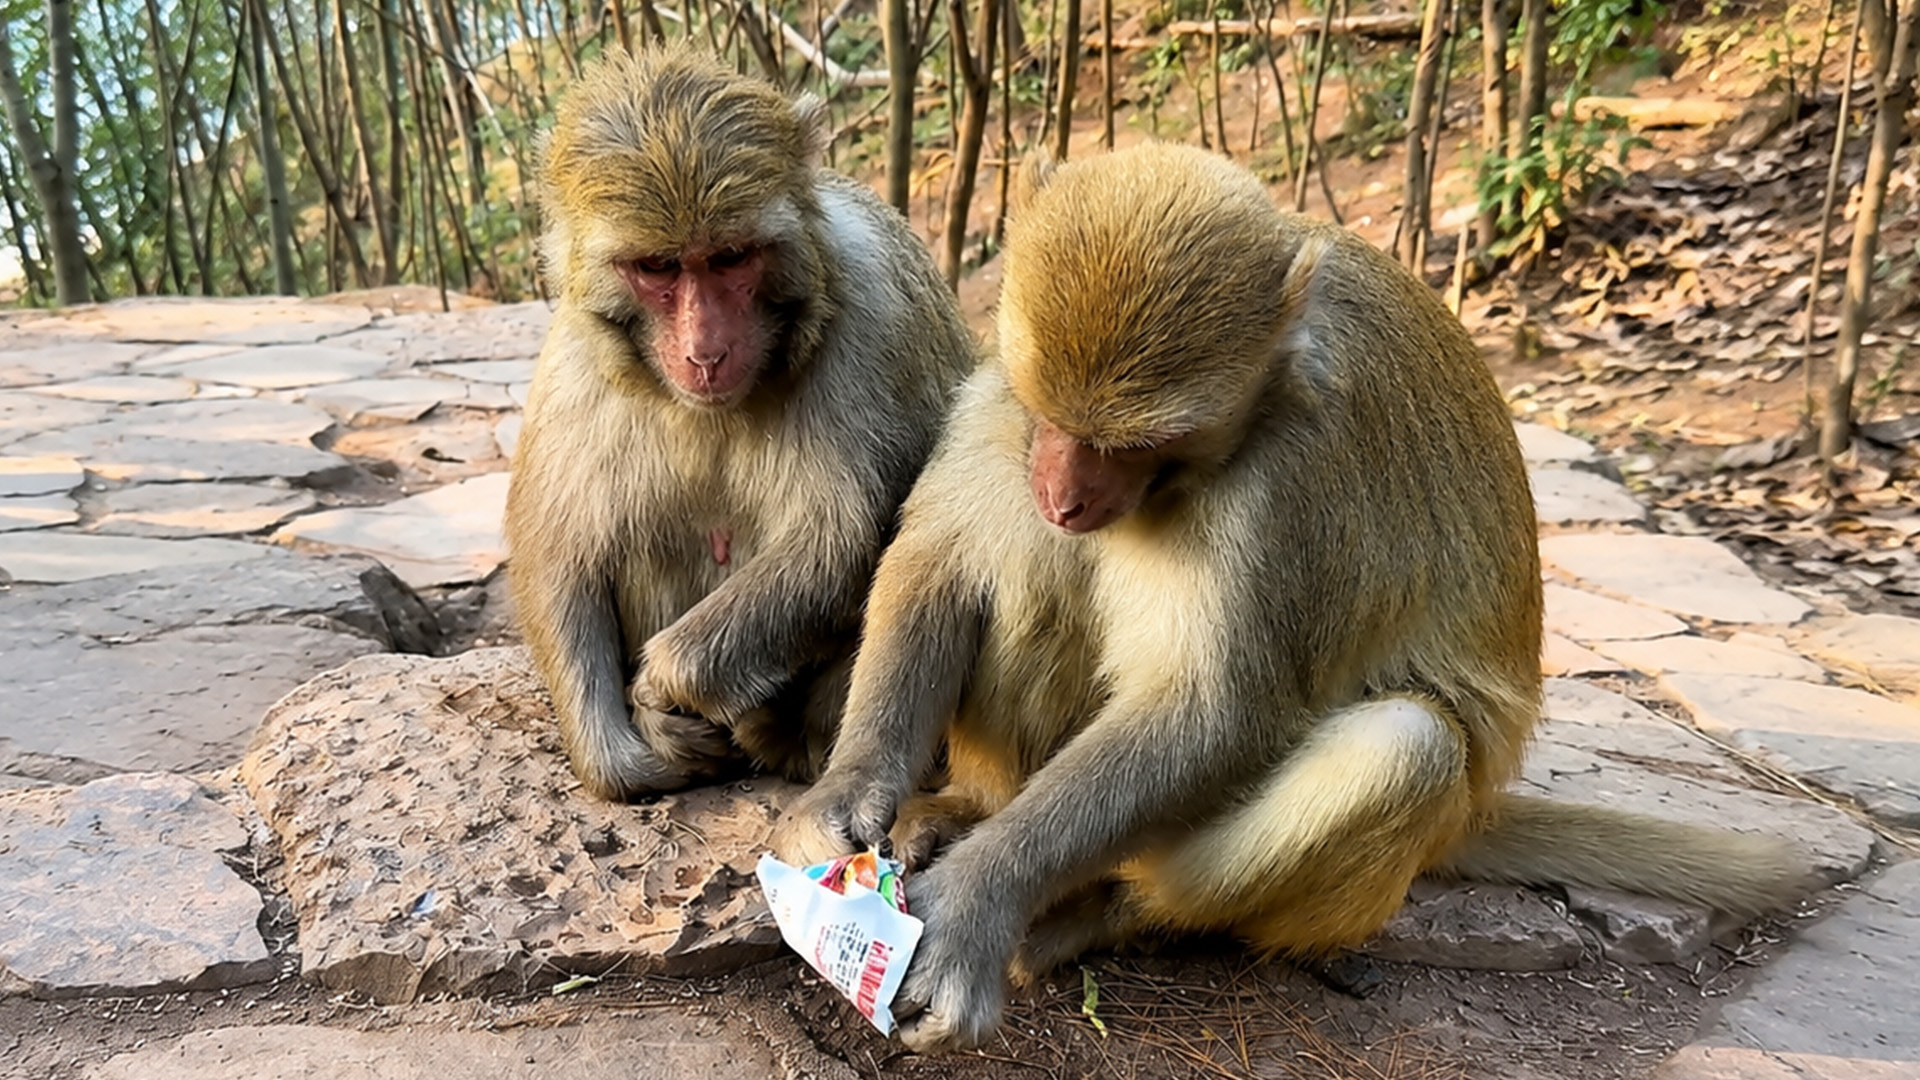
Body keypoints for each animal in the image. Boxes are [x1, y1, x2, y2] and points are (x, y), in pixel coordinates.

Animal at [505, 47, 975, 802]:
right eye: (657, 267)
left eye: (729, 258)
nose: (705, 352)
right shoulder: (575, 353)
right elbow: (560, 552)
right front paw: (623, 754)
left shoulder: (871, 310)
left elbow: (843, 538)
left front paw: (663, 686)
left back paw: (771, 737)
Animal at [771, 143, 1809, 1052]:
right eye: (1057, 420)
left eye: (1138, 446)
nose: (1066, 495)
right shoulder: (1002, 399)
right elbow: (937, 566)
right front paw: (849, 792)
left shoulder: (1289, 483)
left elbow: (1211, 711)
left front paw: (980, 903)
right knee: (1033, 562)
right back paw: (976, 804)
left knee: (1406, 745)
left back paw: (1105, 909)